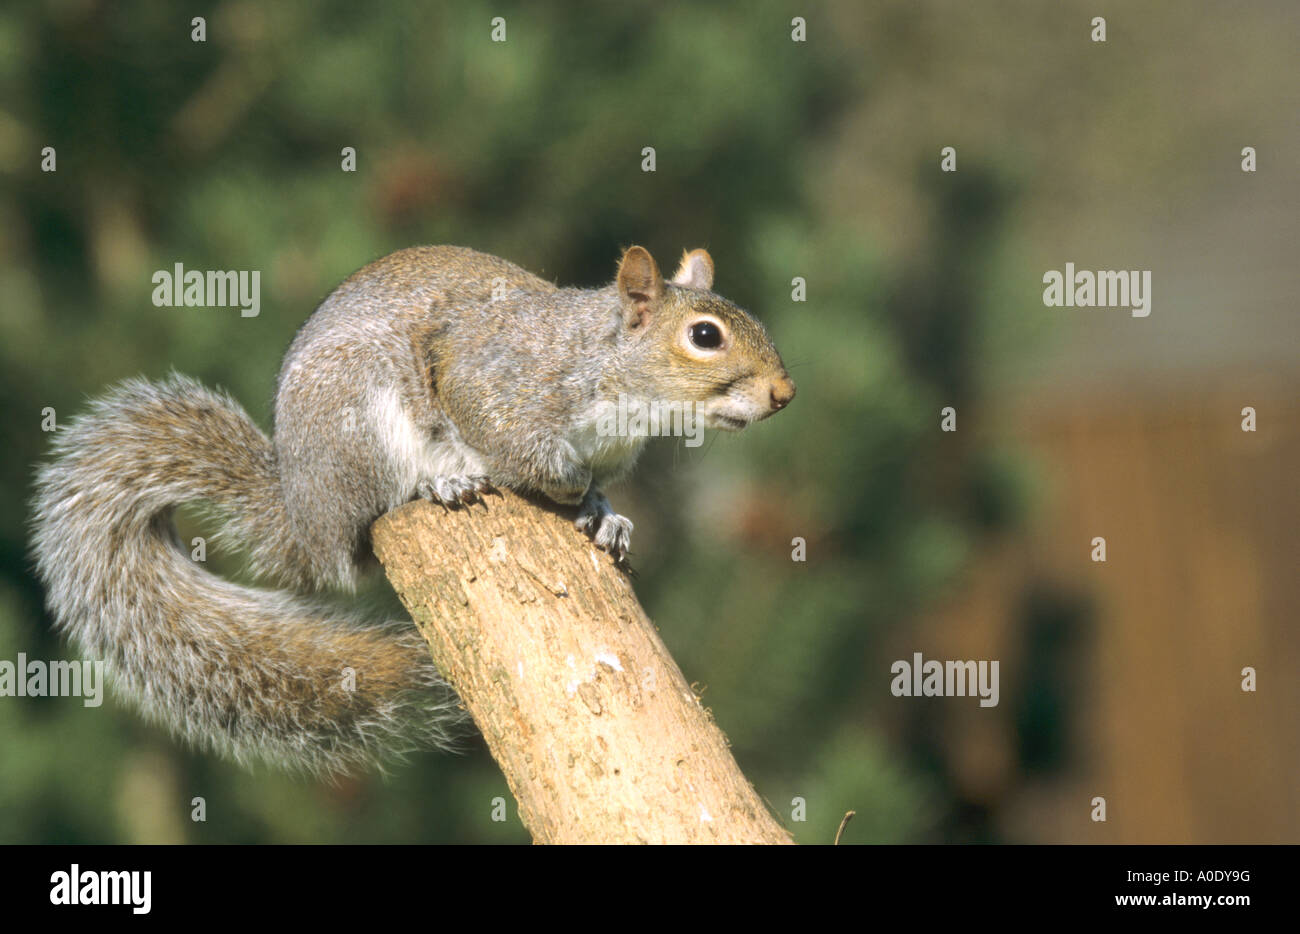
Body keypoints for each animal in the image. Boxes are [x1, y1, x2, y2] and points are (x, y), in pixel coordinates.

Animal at [30, 245, 795, 776]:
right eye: (704, 336)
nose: (785, 395)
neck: (610, 378)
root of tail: (306, 518)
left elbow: (600, 489)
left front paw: (606, 515)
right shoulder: (489, 379)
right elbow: (514, 442)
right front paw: (561, 485)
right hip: (360, 423)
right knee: (368, 528)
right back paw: (442, 485)